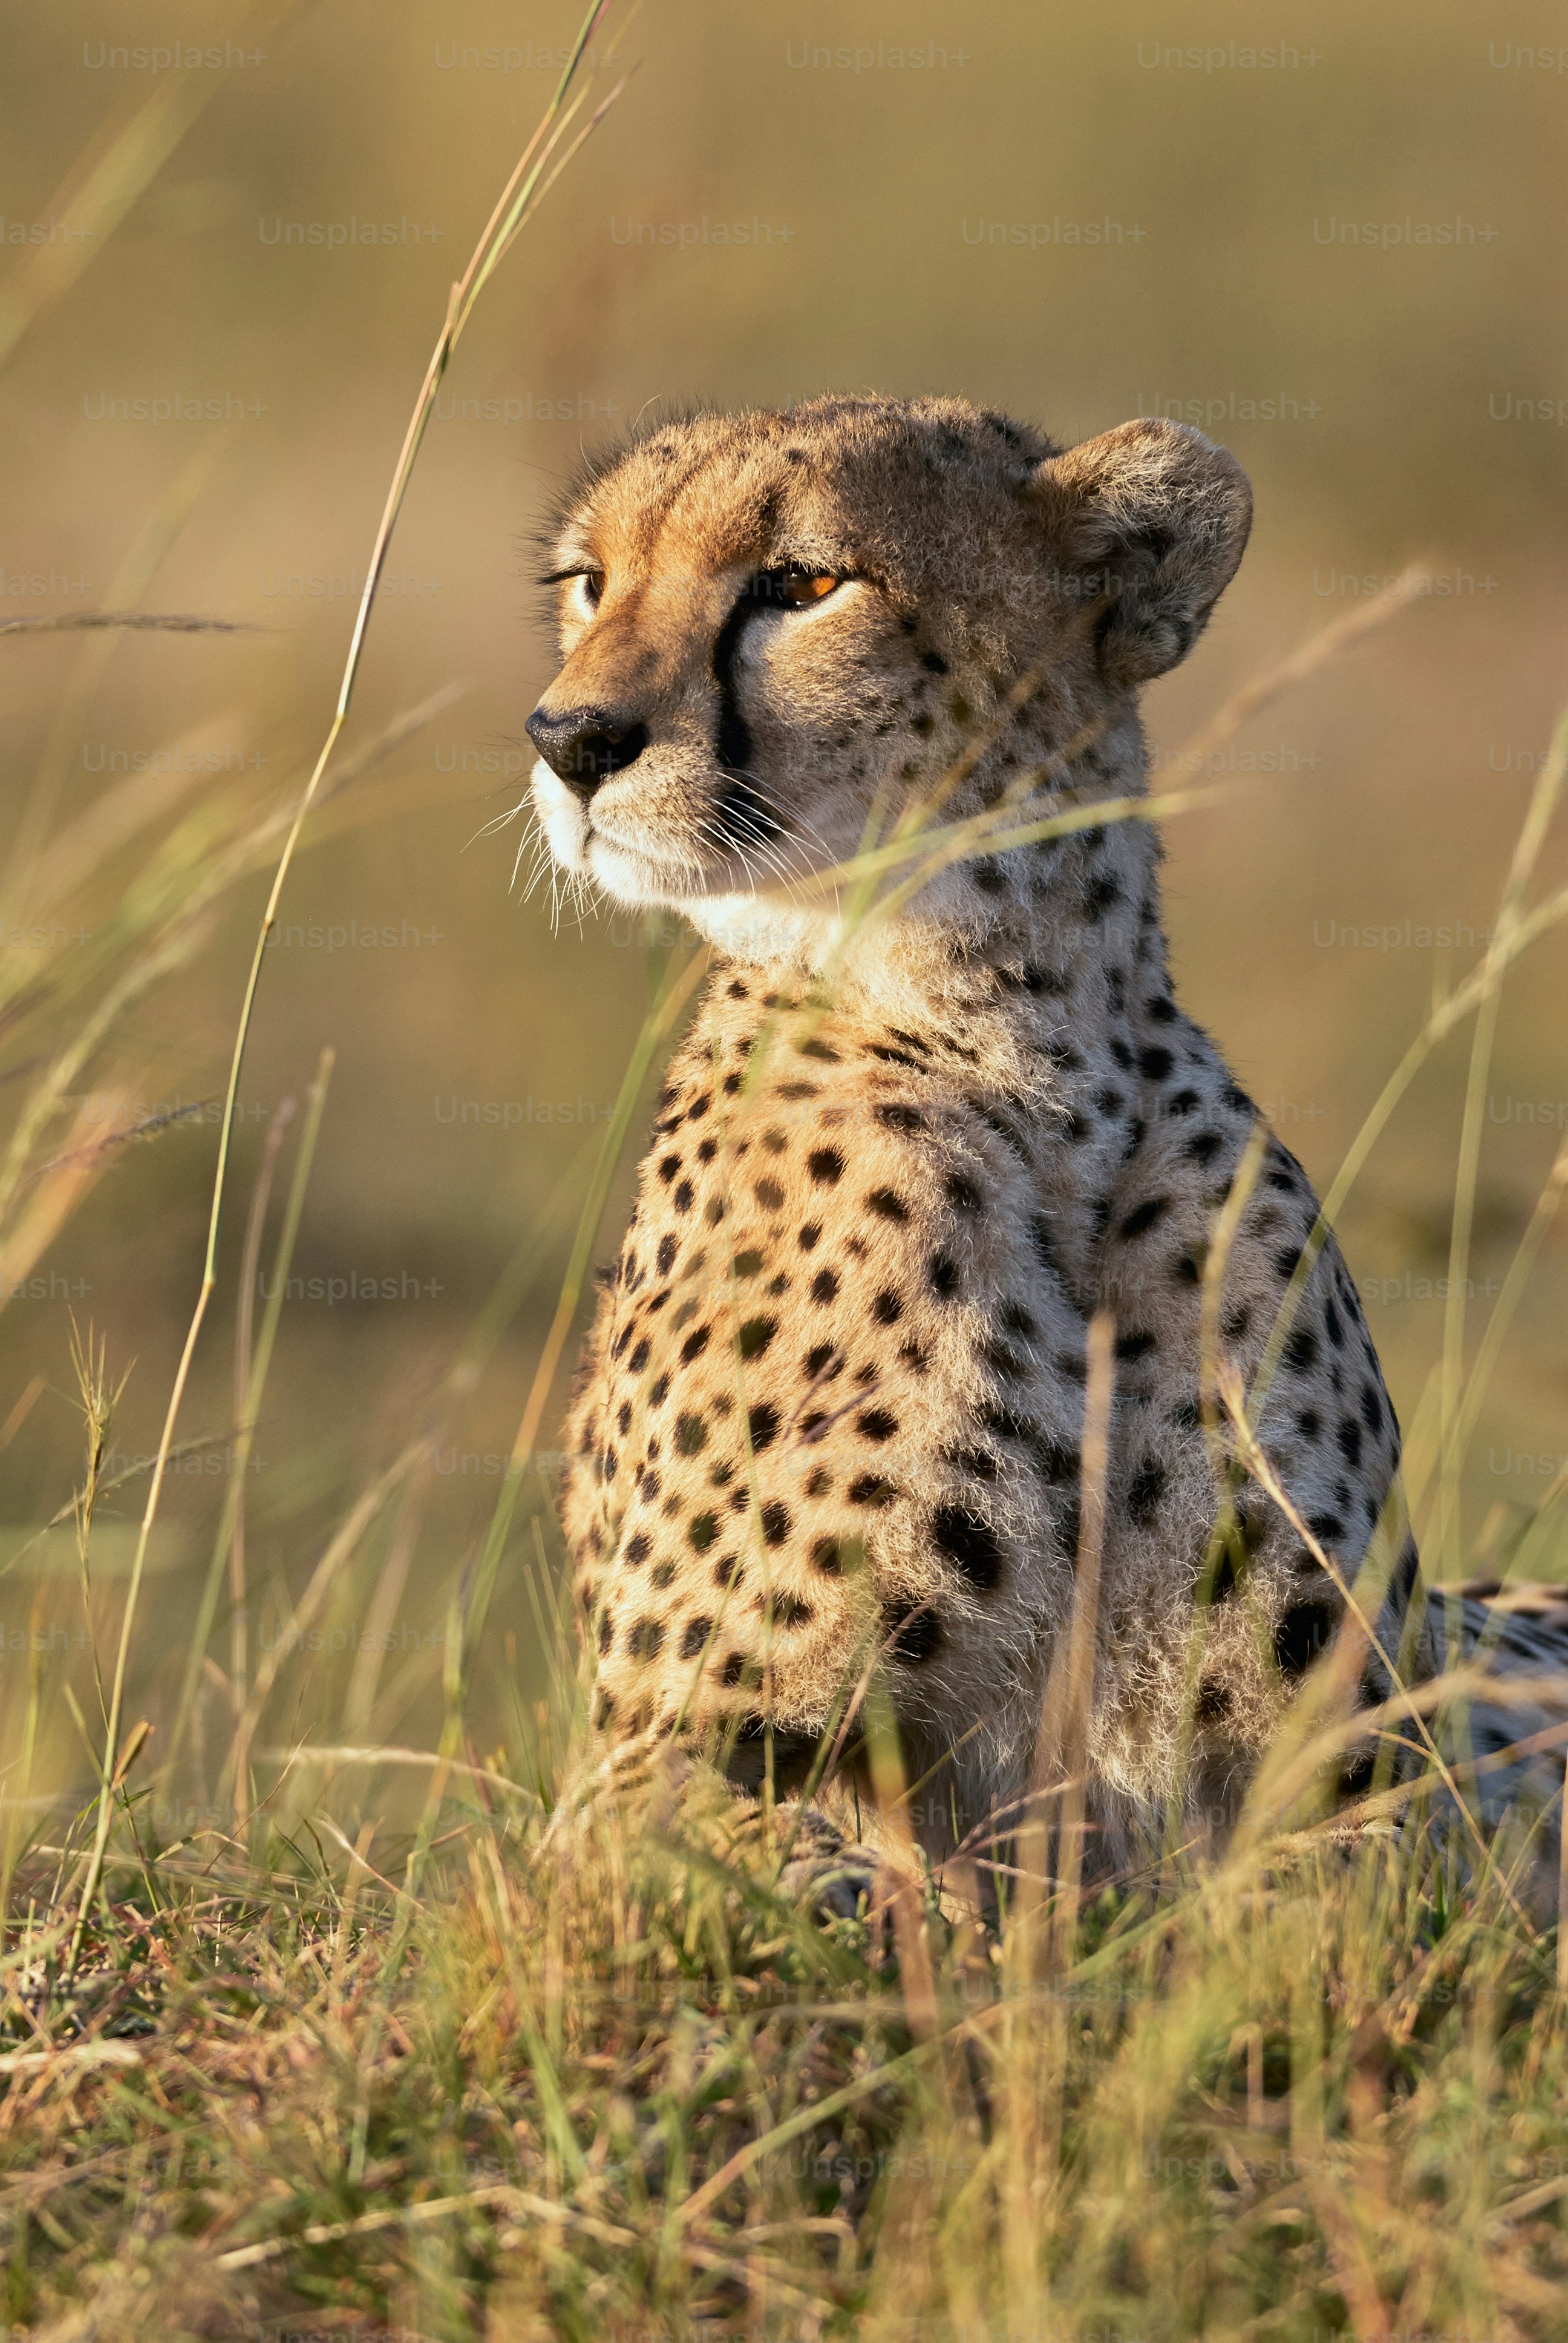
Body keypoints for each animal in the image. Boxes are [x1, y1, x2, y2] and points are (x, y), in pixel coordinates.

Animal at [522, 392, 1568, 1891]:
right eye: (589, 582)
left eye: (801, 584)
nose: (570, 738)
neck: (1030, 1047)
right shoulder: (651, 1751)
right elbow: (827, 1870)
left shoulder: (1375, 1768)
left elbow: (1314, 1888)